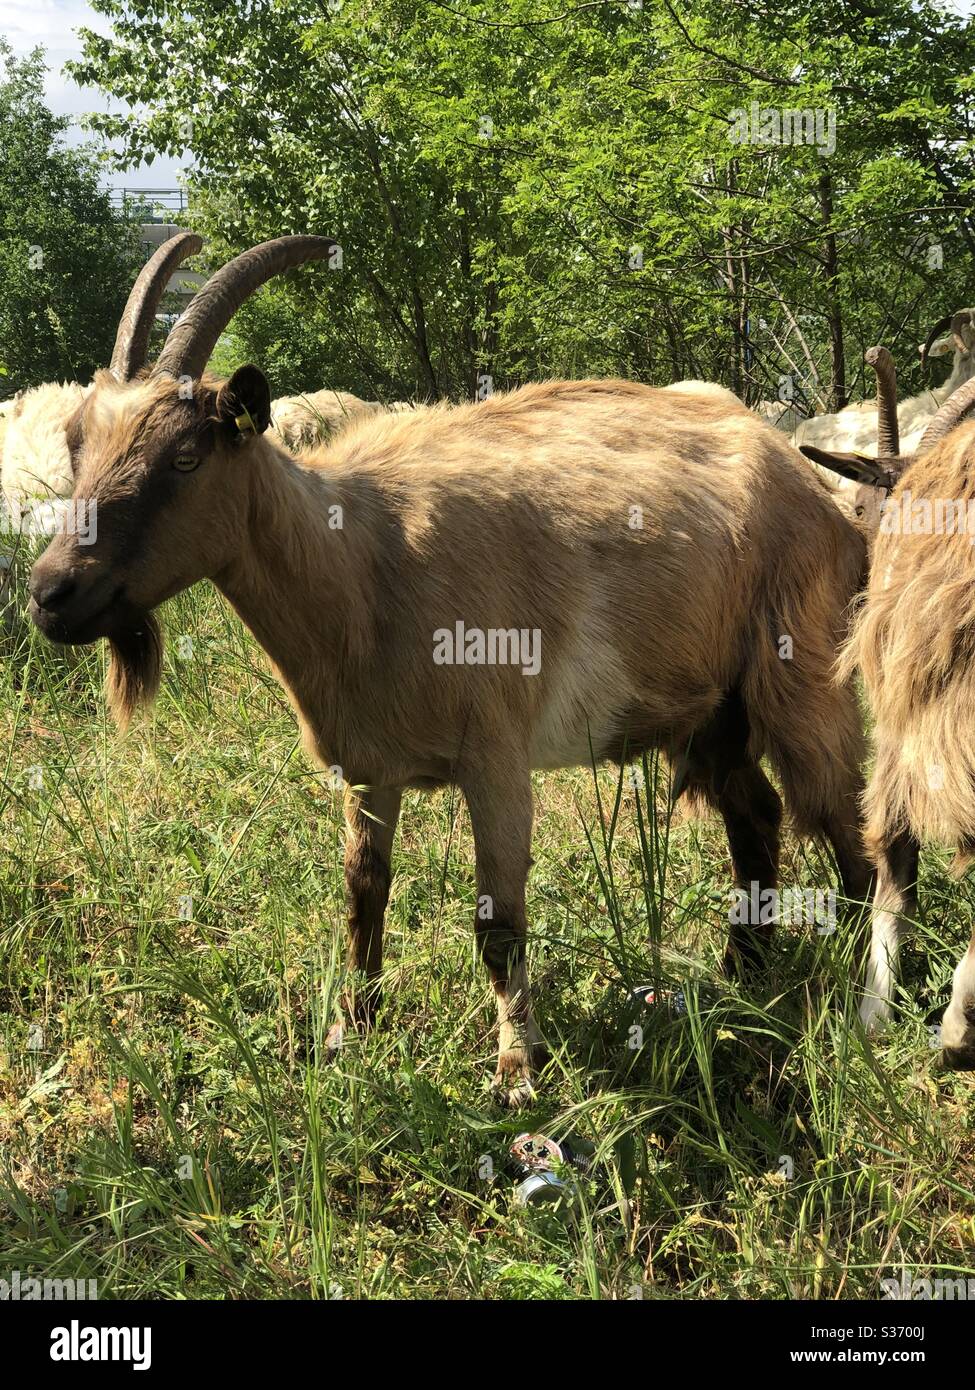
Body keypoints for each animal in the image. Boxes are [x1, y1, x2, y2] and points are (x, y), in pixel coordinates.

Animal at [27, 236, 874, 1105]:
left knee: (848, 824)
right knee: (757, 817)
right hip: (710, 709)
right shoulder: (368, 766)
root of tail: (814, 492)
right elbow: (363, 891)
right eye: (76, 444)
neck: (361, 569)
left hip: (798, 673)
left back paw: (861, 989)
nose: (51, 594)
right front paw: (350, 1034)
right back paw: (740, 974)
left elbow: (497, 922)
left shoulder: (496, 758)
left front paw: (516, 1073)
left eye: (187, 456)